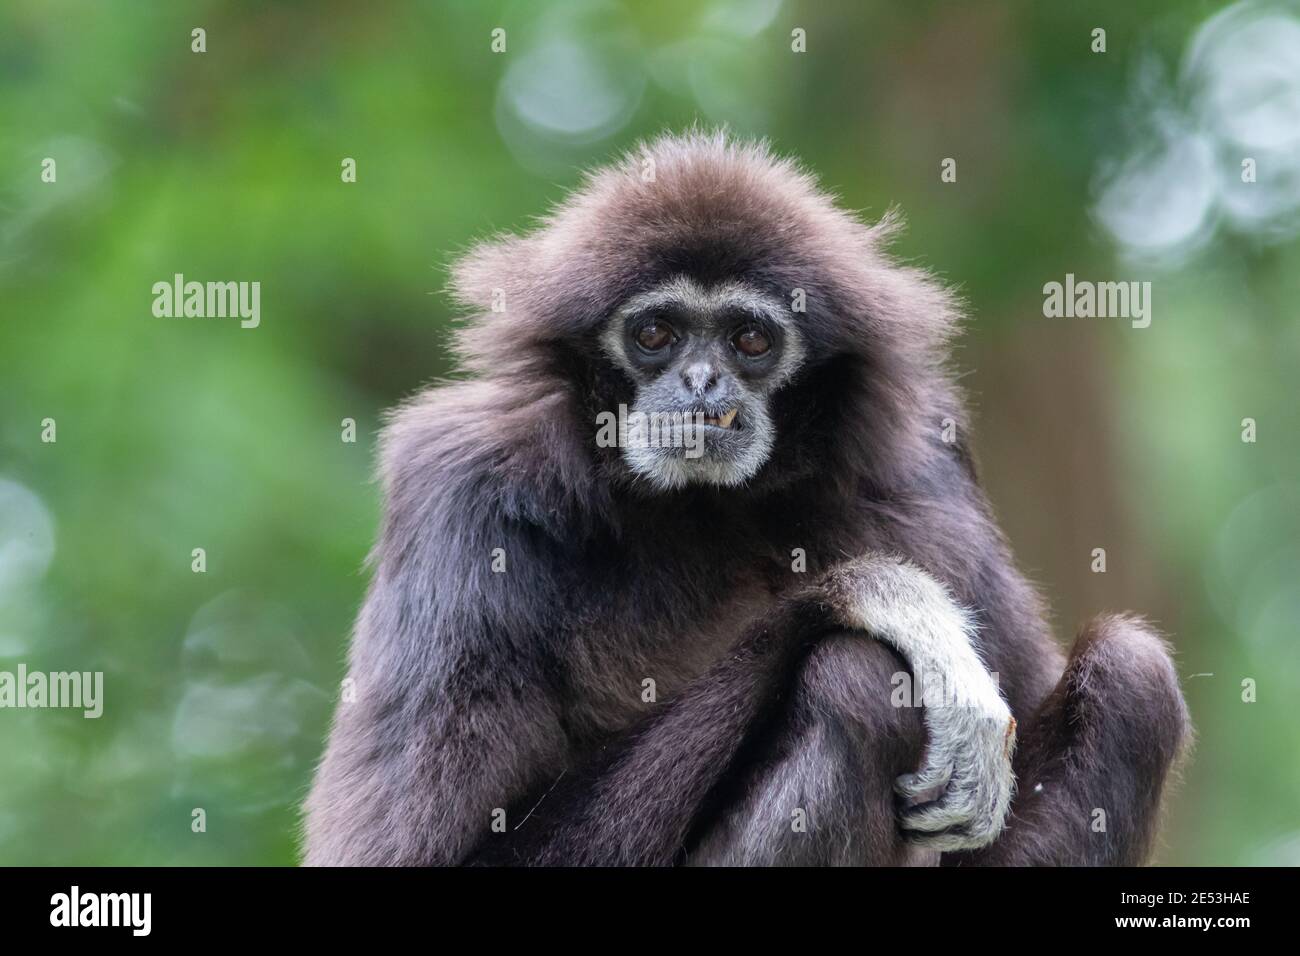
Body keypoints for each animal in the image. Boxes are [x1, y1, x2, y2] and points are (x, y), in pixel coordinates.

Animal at [303, 131, 1189, 867]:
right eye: (655, 334)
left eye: (751, 340)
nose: (703, 383)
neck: (705, 506)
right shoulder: (460, 490)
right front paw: (884, 593)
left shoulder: (928, 455)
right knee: (859, 681)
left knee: (1133, 678)